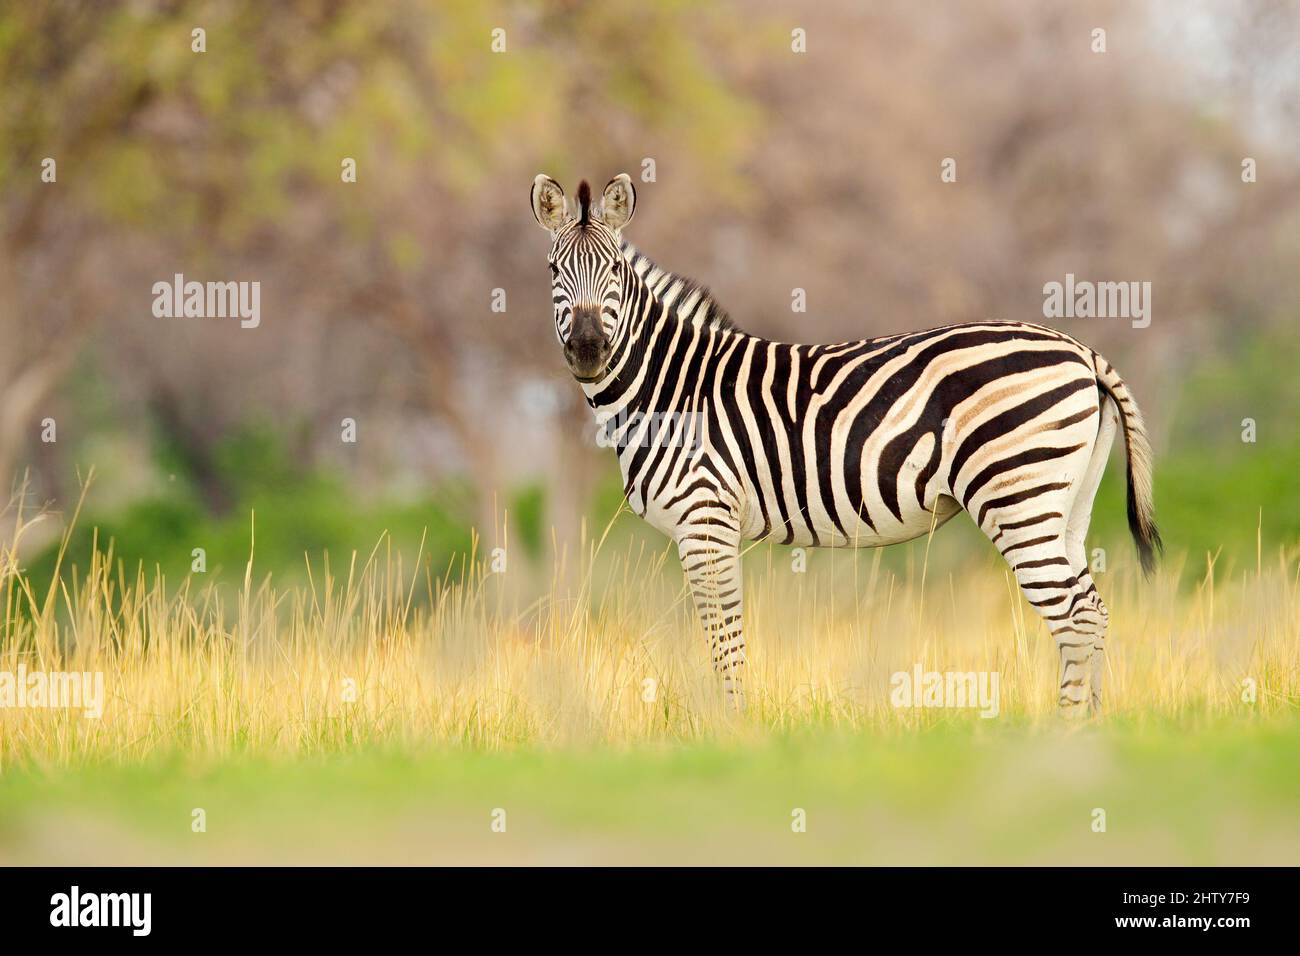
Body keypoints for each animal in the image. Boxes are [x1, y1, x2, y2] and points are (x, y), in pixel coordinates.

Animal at [530, 173, 1161, 715]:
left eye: (614, 270)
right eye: (554, 268)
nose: (587, 349)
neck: (670, 385)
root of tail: (1080, 349)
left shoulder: (706, 519)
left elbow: (724, 638)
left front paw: (731, 727)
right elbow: (722, 635)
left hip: (1019, 496)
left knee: (1074, 619)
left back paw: (1065, 734)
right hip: (1065, 505)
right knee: (1093, 612)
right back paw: (1089, 730)